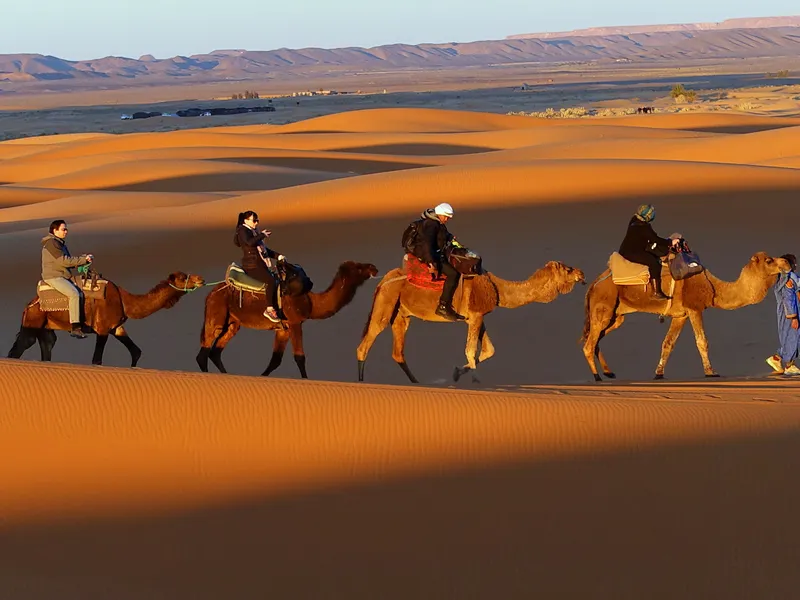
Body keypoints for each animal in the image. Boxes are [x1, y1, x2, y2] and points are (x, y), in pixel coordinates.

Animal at [7, 271, 206, 366]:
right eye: (183, 277)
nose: (201, 279)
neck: (125, 301)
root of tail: (29, 305)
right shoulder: (102, 329)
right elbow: (97, 360)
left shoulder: (116, 328)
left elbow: (136, 352)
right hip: (33, 321)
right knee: (18, 348)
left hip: (46, 328)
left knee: (47, 347)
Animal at [196, 261, 379, 377]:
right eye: (358, 268)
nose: (374, 267)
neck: (310, 301)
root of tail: (210, 294)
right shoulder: (295, 322)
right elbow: (300, 357)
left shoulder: (283, 329)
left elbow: (276, 360)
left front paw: (262, 376)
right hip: (217, 313)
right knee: (204, 351)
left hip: (233, 322)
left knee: (215, 351)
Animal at [357, 261, 586, 383]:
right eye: (567, 269)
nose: (581, 273)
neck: (498, 288)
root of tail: (382, 281)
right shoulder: (475, 315)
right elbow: (470, 350)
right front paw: (475, 381)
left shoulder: (476, 317)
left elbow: (488, 350)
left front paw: (457, 373)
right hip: (386, 302)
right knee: (366, 342)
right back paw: (361, 381)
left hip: (401, 314)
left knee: (398, 352)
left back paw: (417, 383)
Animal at [580, 252, 792, 381]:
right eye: (769, 261)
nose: (787, 261)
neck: (712, 287)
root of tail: (593, 284)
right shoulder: (694, 308)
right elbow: (702, 341)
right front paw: (711, 372)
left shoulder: (680, 315)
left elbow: (668, 343)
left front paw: (659, 373)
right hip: (604, 305)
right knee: (589, 343)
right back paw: (597, 377)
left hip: (616, 315)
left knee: (597, 338)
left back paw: (609, 373)